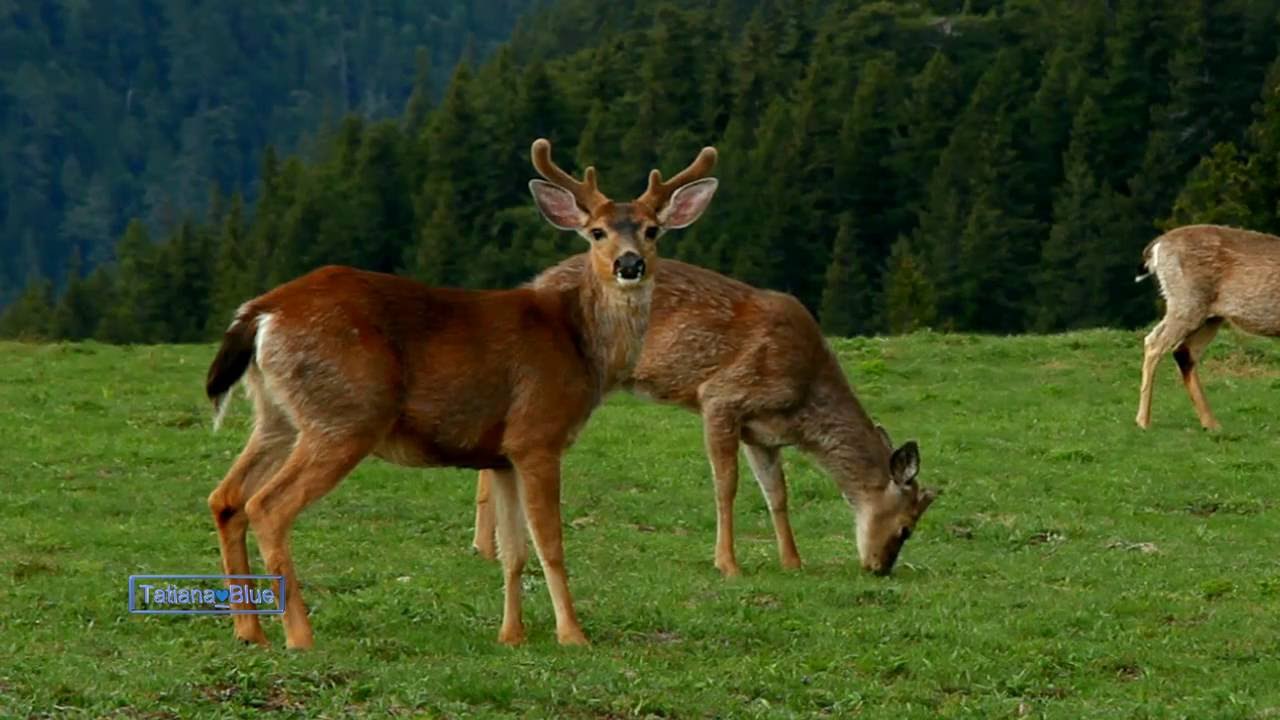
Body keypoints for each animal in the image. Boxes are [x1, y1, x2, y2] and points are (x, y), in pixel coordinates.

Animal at [202, 138, 719, 649]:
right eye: (596, 232)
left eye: (652, 230)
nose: (629, 264)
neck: (580, 344)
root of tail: (261, 313)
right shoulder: (537, 434)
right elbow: (550, 544)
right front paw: (573, 634)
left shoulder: (502, 454)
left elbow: (513, 551)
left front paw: (511, 635)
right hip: (346, 414)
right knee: (267, 506)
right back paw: (299, 635)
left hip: (278, 415)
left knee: (226, 499)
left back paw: (250, 631)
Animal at [473, 257, 939, 577]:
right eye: (906, 528)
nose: (879, 569)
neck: (802, 404)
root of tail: (531, 284)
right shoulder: (721, 396)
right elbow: (726, 485)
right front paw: (727, 564)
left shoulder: (763, 435)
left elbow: (777, 493)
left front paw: (793, 561)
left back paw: (486, 548)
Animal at [1135, 223, 1280, 430]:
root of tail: (1157, 245)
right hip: (1188, 302)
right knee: (1155, 343)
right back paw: (1143, 421)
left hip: (1208, 315)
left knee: (1182, 351)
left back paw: (1211, 423)